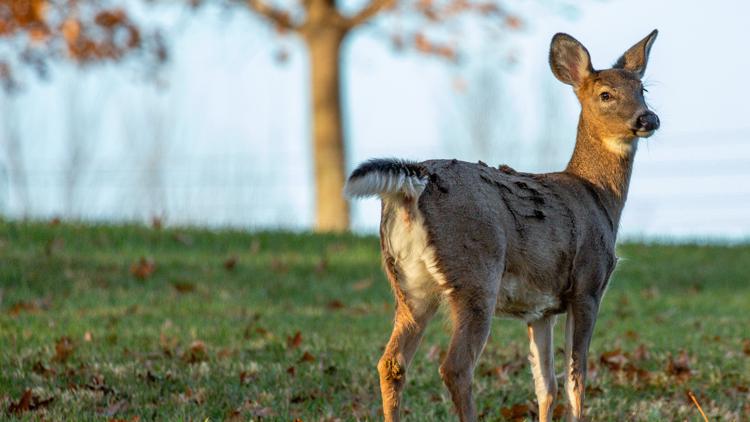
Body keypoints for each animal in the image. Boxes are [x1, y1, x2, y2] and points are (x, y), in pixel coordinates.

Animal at [344, 29, 660, 421]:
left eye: (642, 88)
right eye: (606, 94)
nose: (648, 119)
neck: (599, 196)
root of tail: (415, 184)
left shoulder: (541, 309)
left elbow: (546, 385)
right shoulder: (588, 284)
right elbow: (577, 379)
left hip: (409, 283)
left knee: (391, 363)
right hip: (476, 273)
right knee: (456, 367)